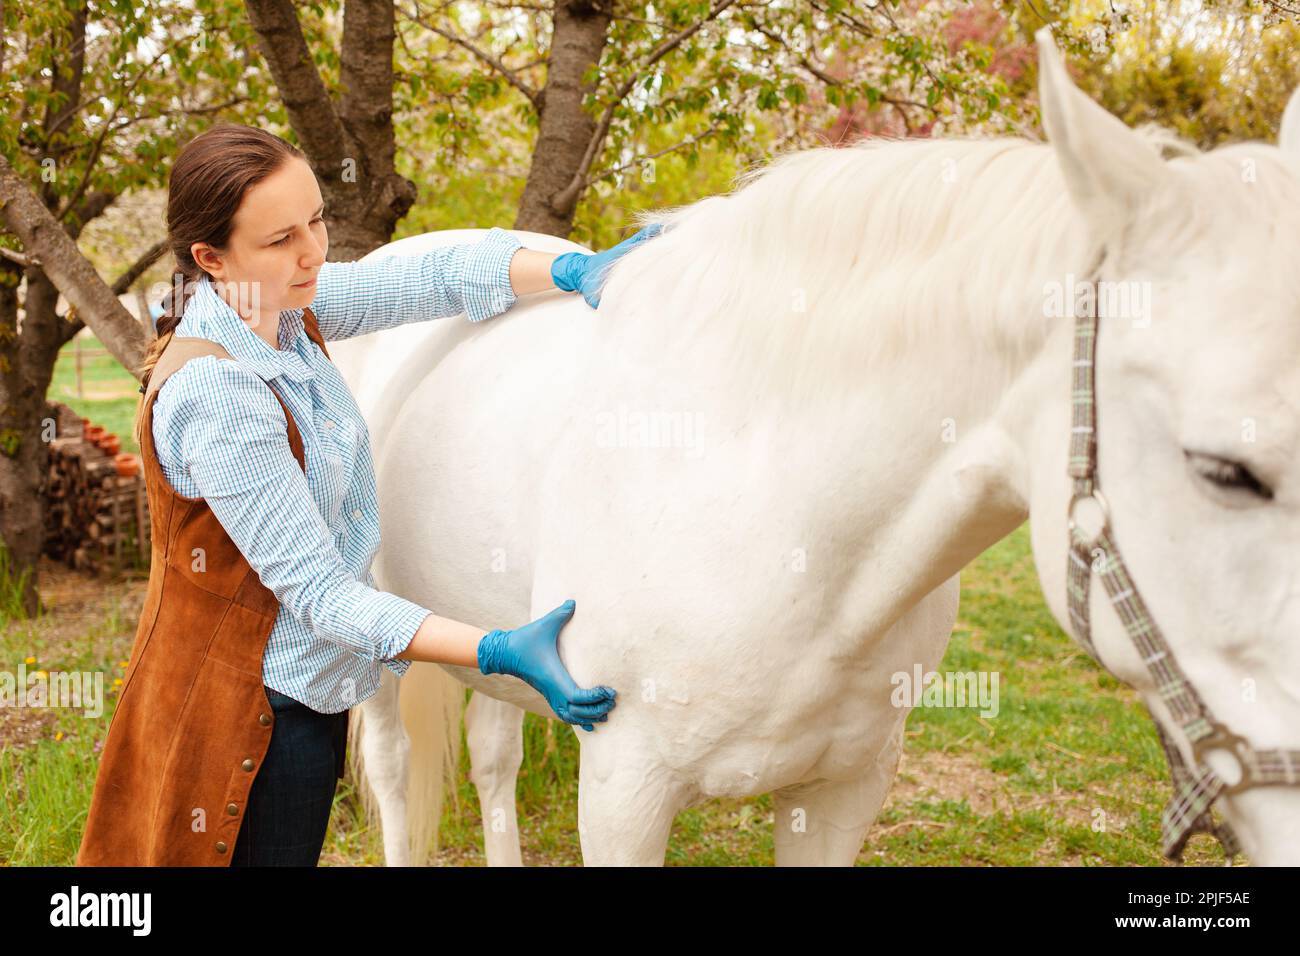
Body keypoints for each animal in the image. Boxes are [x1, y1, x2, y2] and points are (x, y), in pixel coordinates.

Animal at [330, 27, 1300, 866]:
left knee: (494, 756)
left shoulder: (842, 791)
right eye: (1225, 471)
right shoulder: (622, 794)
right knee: (393, 769)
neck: (778, 509)